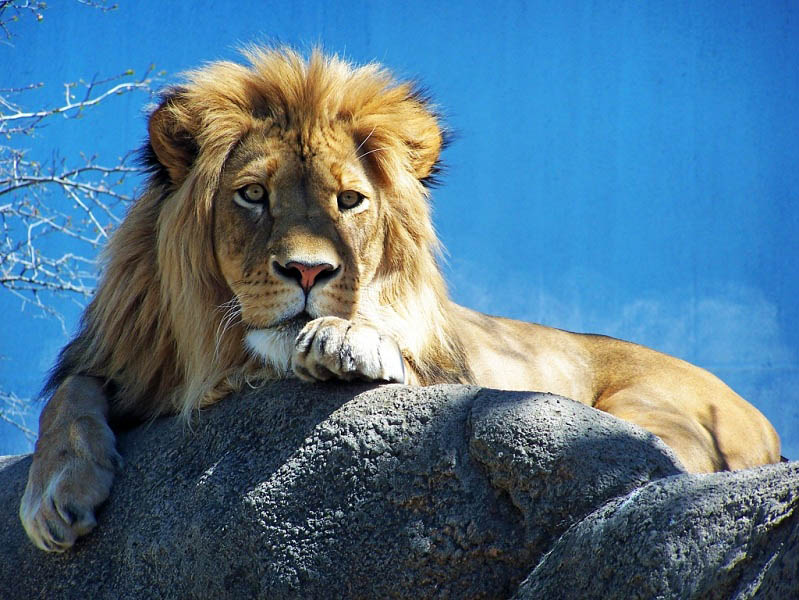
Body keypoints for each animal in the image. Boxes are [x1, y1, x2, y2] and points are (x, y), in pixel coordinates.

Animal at [20, 46, 780, 552]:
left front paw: (343, 339)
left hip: (654, 411)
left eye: (349, 200)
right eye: (253, 194)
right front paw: (54, 498)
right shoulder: (125, 359)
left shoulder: (447, 367)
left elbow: (401, 358)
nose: (307, 272)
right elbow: (70, 398)